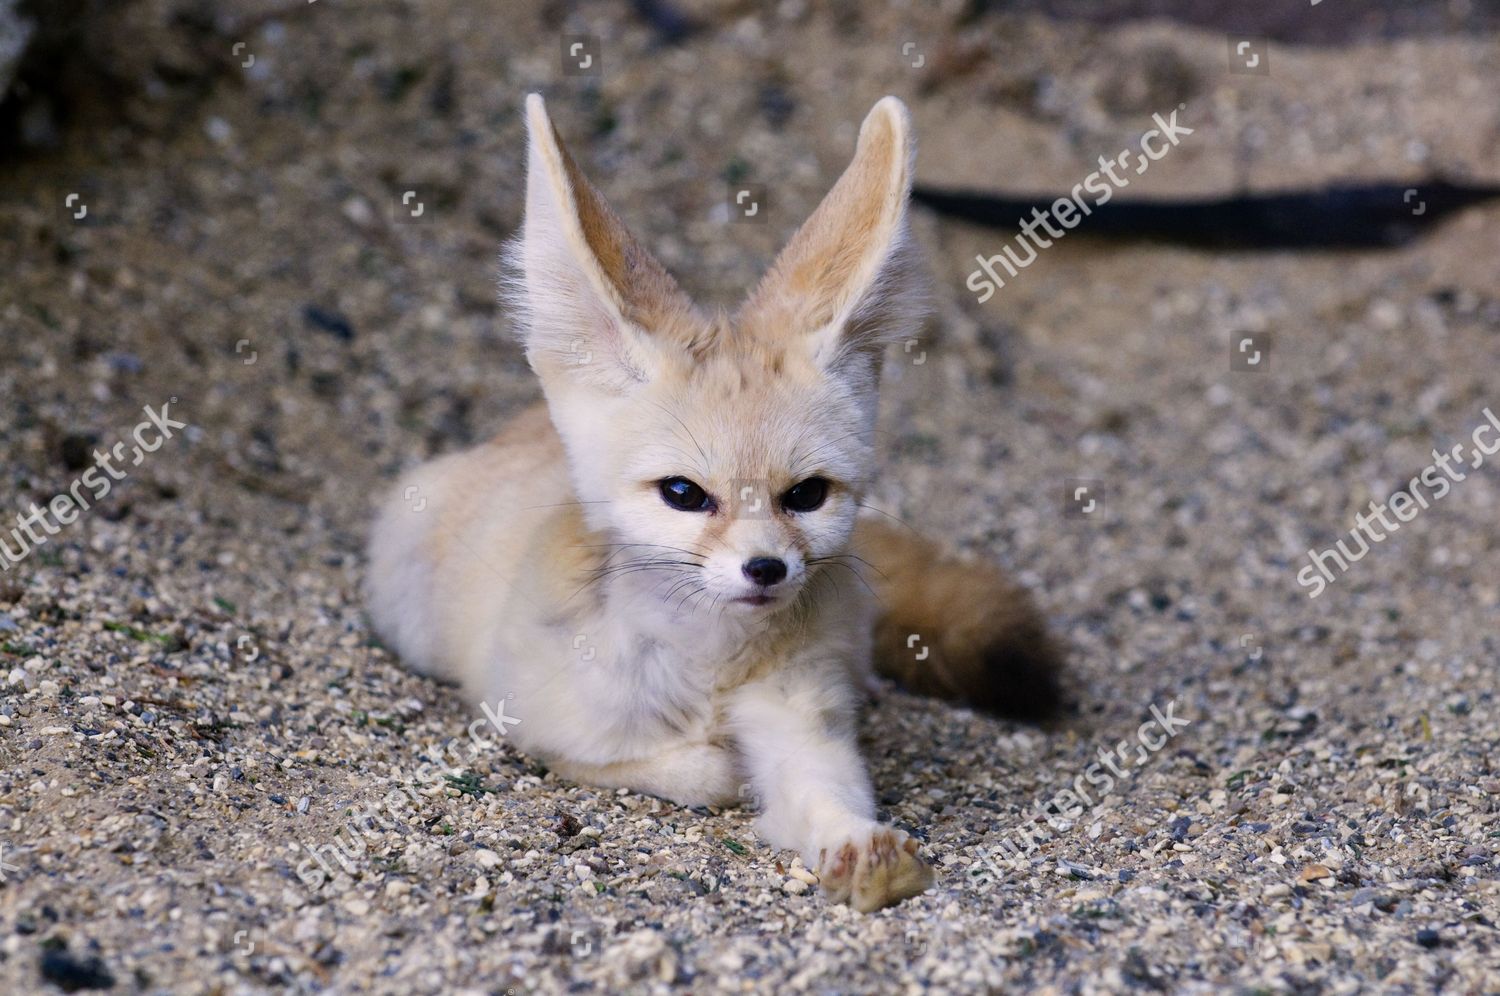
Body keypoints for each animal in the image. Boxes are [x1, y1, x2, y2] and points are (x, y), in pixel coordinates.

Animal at [366, 93, 1064, 912]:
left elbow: (825, 792)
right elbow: (694, 769)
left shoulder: (803, 723)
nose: (766, 570)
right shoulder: (538, 724)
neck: (712, 671)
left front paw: (858, 847)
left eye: (806, 495)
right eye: (684, 495)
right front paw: (718, 763)